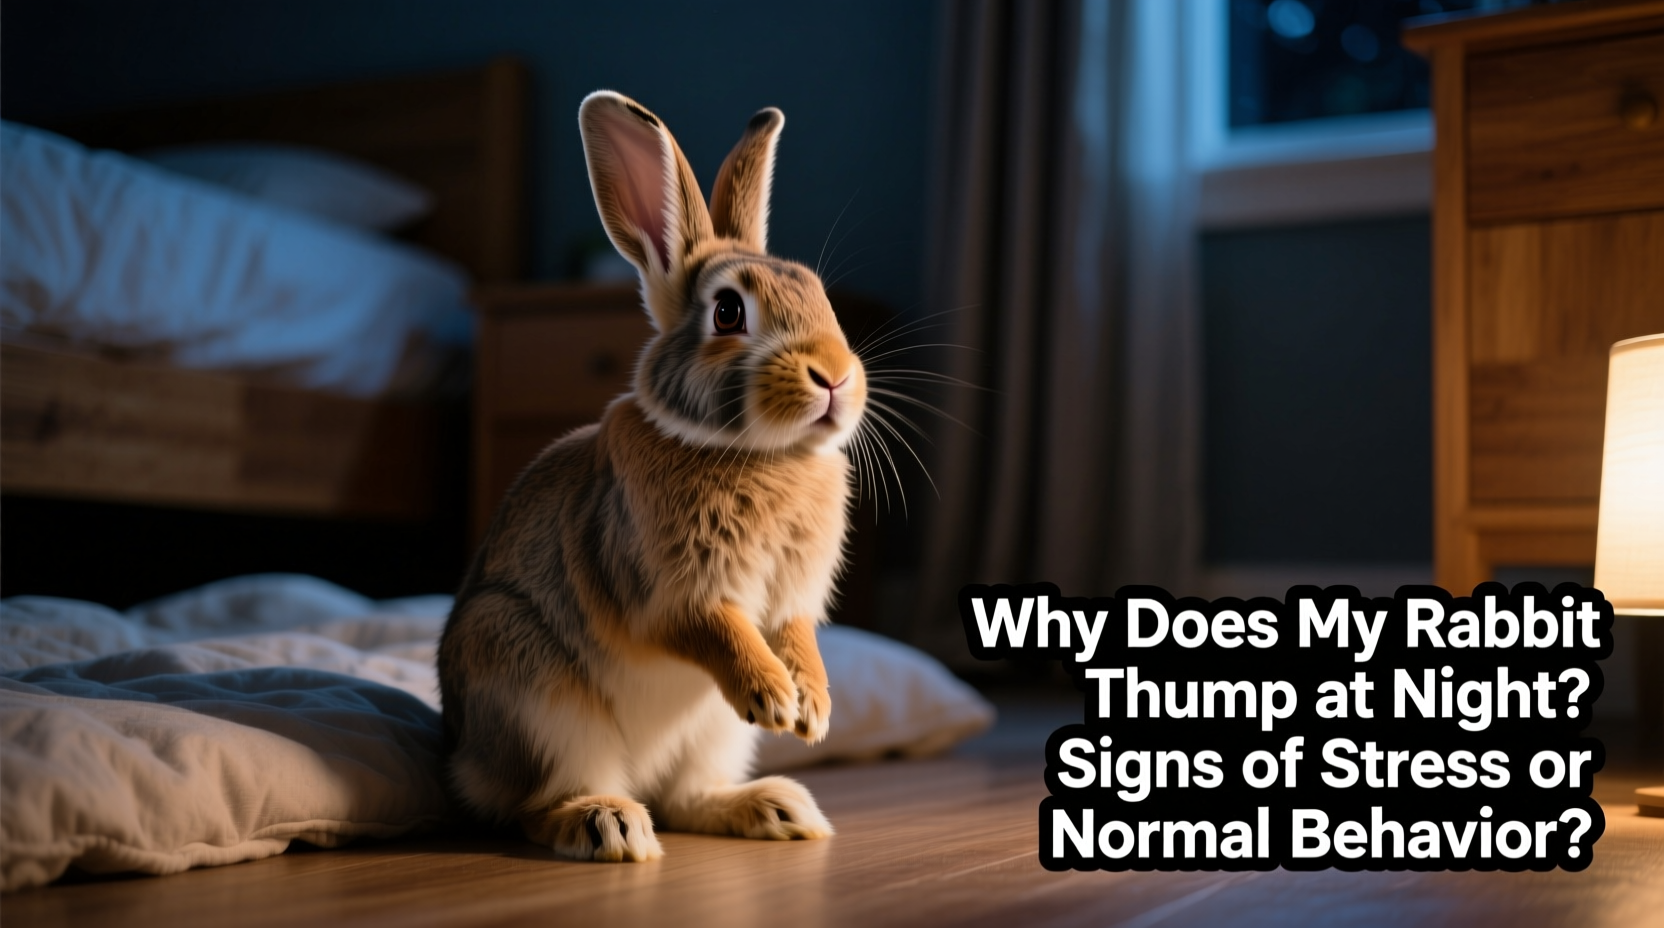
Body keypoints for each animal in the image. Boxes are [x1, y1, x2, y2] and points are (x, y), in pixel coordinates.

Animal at [437, 90, 865, 862]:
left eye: (820, 296)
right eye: (728, 311)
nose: (835, 377)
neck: (756, 453)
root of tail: (455, 757)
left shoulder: (791, 601)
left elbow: (796, 636)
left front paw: (811, 709)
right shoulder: (667, 590)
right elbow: (716, 628)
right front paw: (774, 697)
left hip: (713, 736)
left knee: (685, 798)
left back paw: (778, 809)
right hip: (535, 692)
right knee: (535, 806)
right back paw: (607, 824)